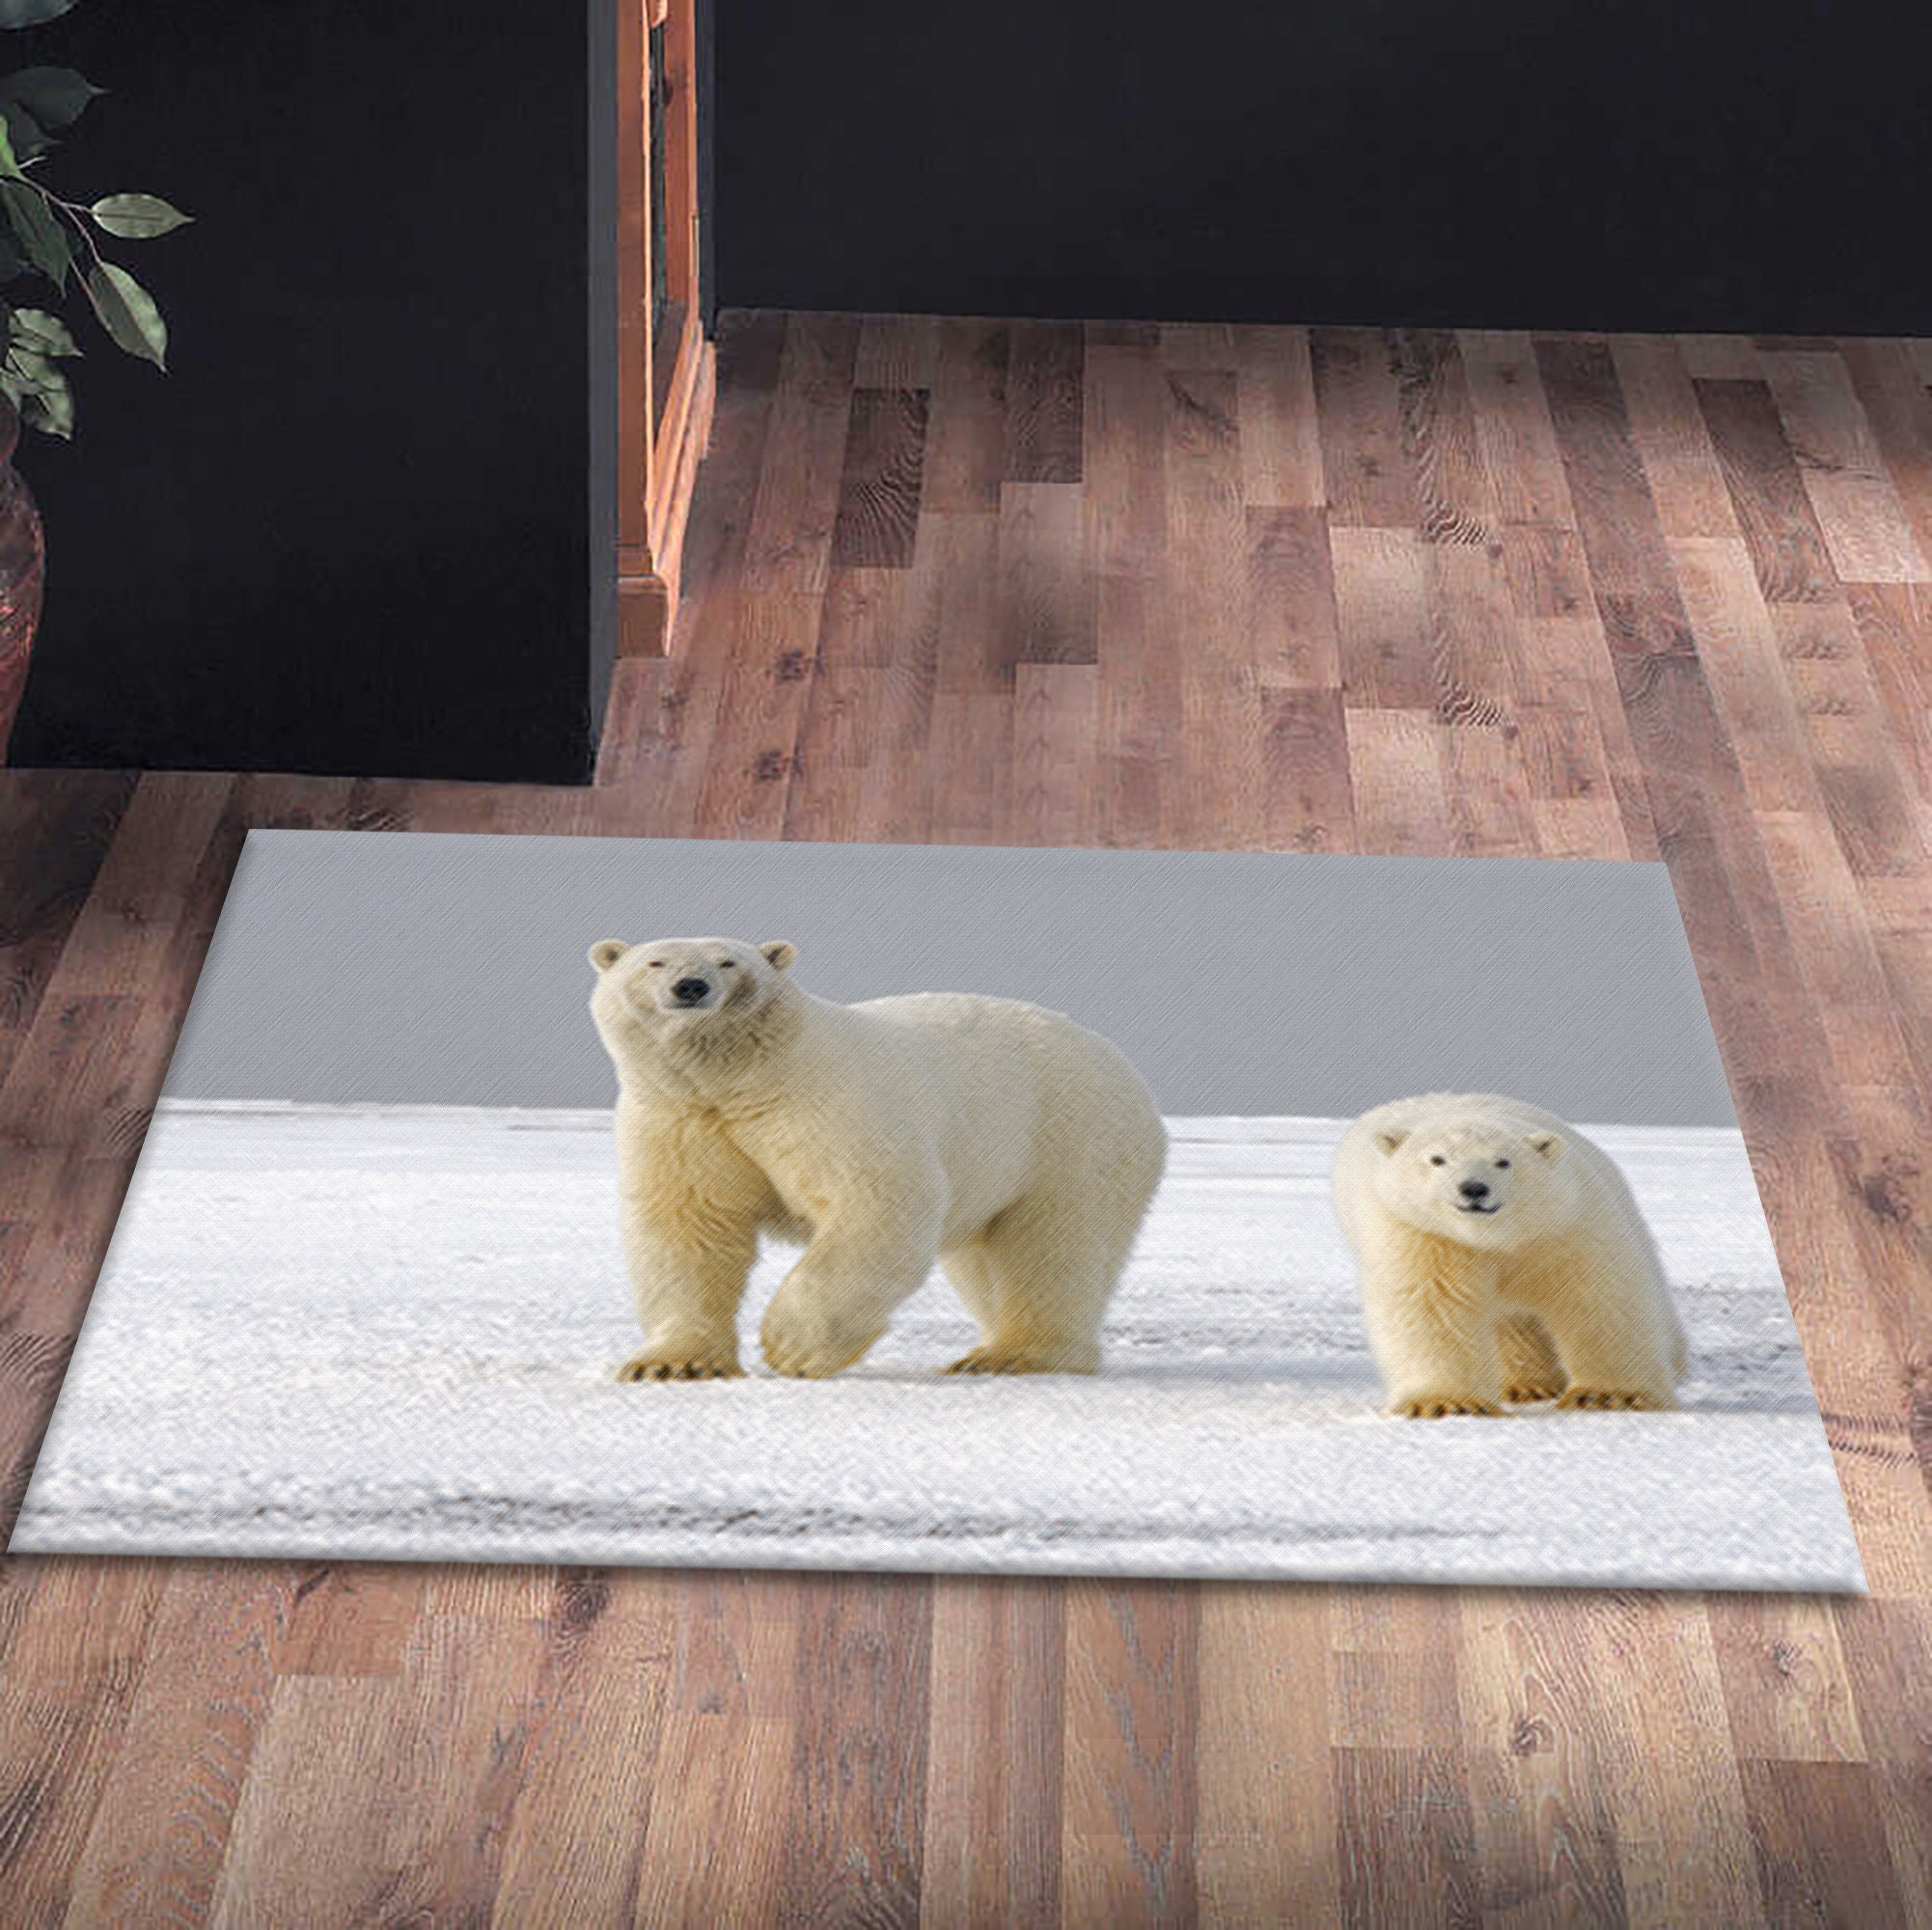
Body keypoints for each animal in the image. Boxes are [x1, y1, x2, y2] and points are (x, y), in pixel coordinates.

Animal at [587, 934, 1168, 1382]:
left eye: (729, 962)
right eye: (654, 962)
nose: (690, 986)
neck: (744, 1081)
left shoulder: (823, 1102)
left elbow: (876, 1201)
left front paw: (791, 1347)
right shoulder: (681, 1119)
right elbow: (690, 1225)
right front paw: (670, 1364)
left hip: (1070, 1137)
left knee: (1052, 1247)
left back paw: (1012, 1355)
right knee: (983, 1259)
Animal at [1330, 1091, 1688, 1418]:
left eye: (1503, 1161)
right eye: (1437, 1159)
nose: (1474, 1188)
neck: (1495, 1237)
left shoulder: (1562, 1224)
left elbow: (1597, 1296)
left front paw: (1609, 1396)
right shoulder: (1422, 1234)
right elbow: (1432, 1305)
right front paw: (1449, 1403)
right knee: (1515, 1324)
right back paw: (1527, 1386)